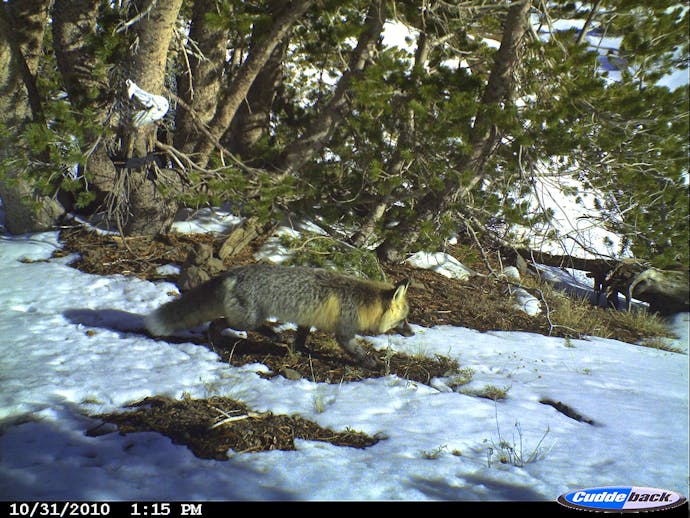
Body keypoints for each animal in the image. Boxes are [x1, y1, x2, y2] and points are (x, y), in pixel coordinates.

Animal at [144, 263, 412, 368]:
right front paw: (373, 364)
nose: (412, 333)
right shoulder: (344, 333)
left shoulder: (307, 320)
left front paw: (300, 350)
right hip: (246, 319)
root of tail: (234, 272)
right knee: (218, 323)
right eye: (404, 320)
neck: (362, 302)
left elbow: (301, 337)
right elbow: (357, 351)